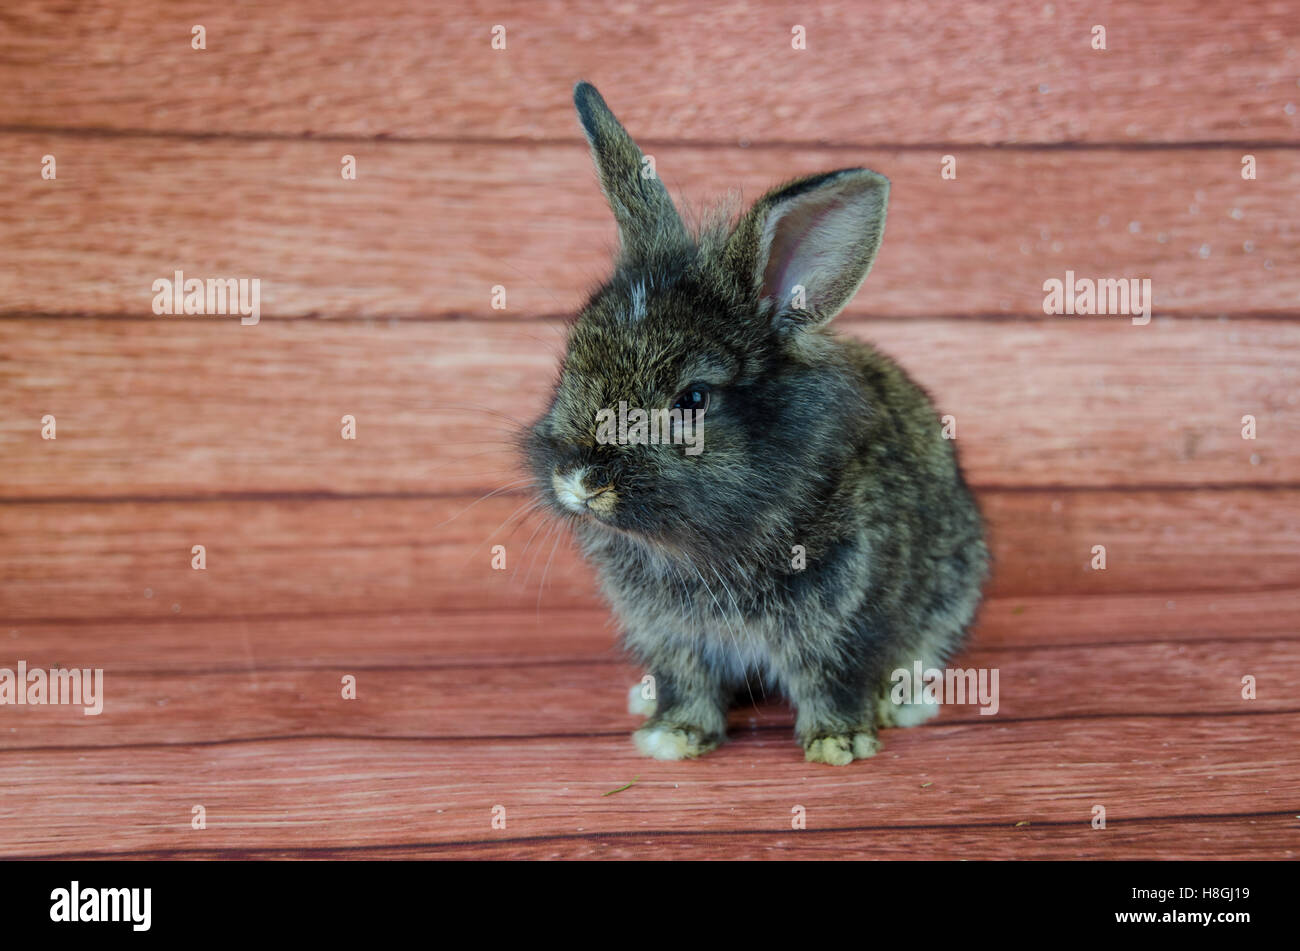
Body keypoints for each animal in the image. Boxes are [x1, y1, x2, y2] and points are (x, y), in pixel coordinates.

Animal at [523, 82, 990, 764]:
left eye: (692, 400)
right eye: (570, 365)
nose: (580, 482)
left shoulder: (845, 620)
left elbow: (833, 676)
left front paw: (840, 744)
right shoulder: (672, 638)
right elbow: (686, 682)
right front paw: (671, 736)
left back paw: (903, 705)